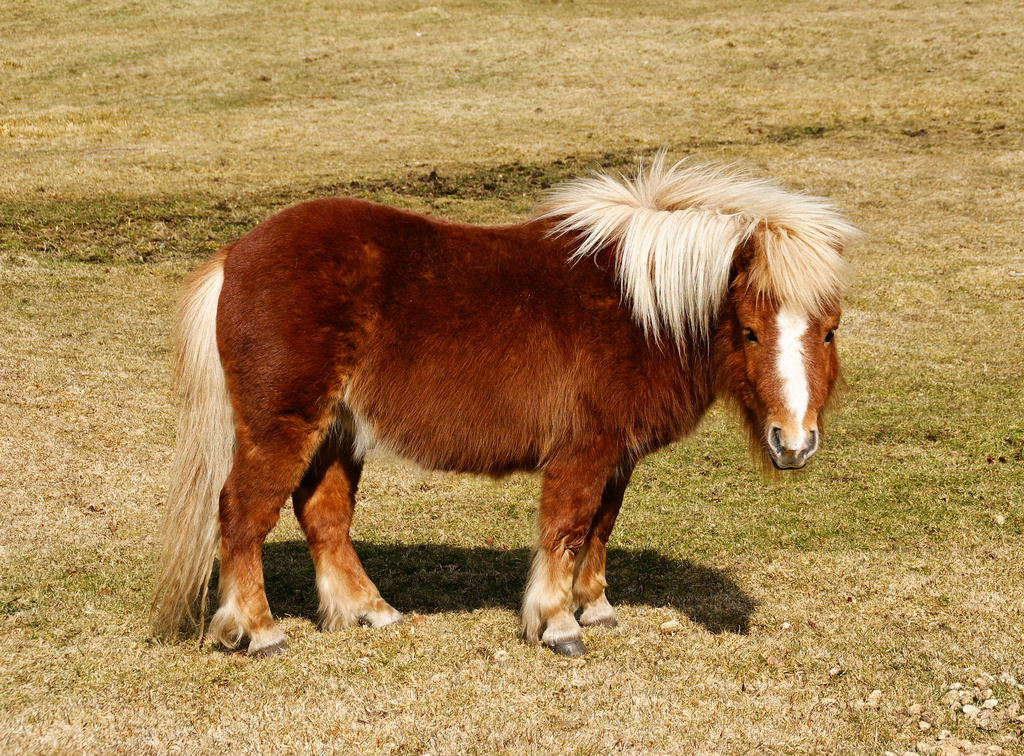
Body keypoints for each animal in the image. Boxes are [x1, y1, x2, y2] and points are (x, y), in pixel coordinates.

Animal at [150, 156, 858, 657]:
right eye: (750, 332)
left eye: (829, 331)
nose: (794, 443)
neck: (639, 308)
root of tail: (235, 255)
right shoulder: (582, 452)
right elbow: (566, 528)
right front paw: (558, 624)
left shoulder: (617, 456)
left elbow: (599, 527)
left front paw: (596, 609)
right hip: (283, 425)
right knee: (243, 514)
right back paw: (259, 631)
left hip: (337, 431)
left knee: (323, 517)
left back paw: (369, 612)